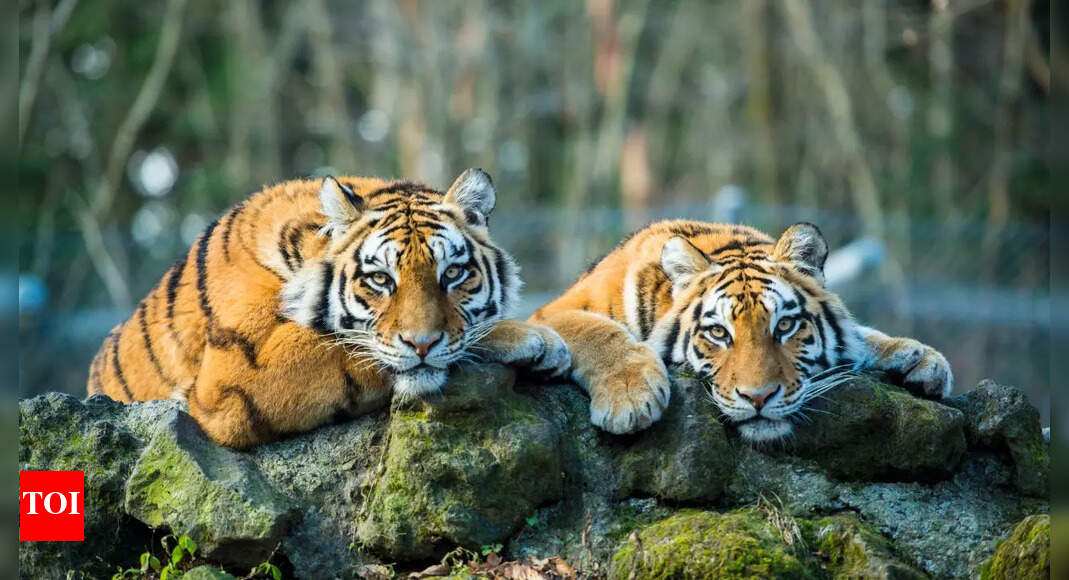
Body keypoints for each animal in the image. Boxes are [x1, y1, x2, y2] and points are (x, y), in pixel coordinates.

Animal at [87, 169, 571, 448]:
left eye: (452, 273)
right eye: (381, 279)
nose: (422, 345)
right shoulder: (232, 377)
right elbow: (347, 346)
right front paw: (534, 337)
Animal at [530, 220, 953, 442]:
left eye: (785, 325)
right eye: (718, 333)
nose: (759, 398)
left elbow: (860, 334)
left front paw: (920, 357)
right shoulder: (551, 313)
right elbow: (598, 330)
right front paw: (630, 398)